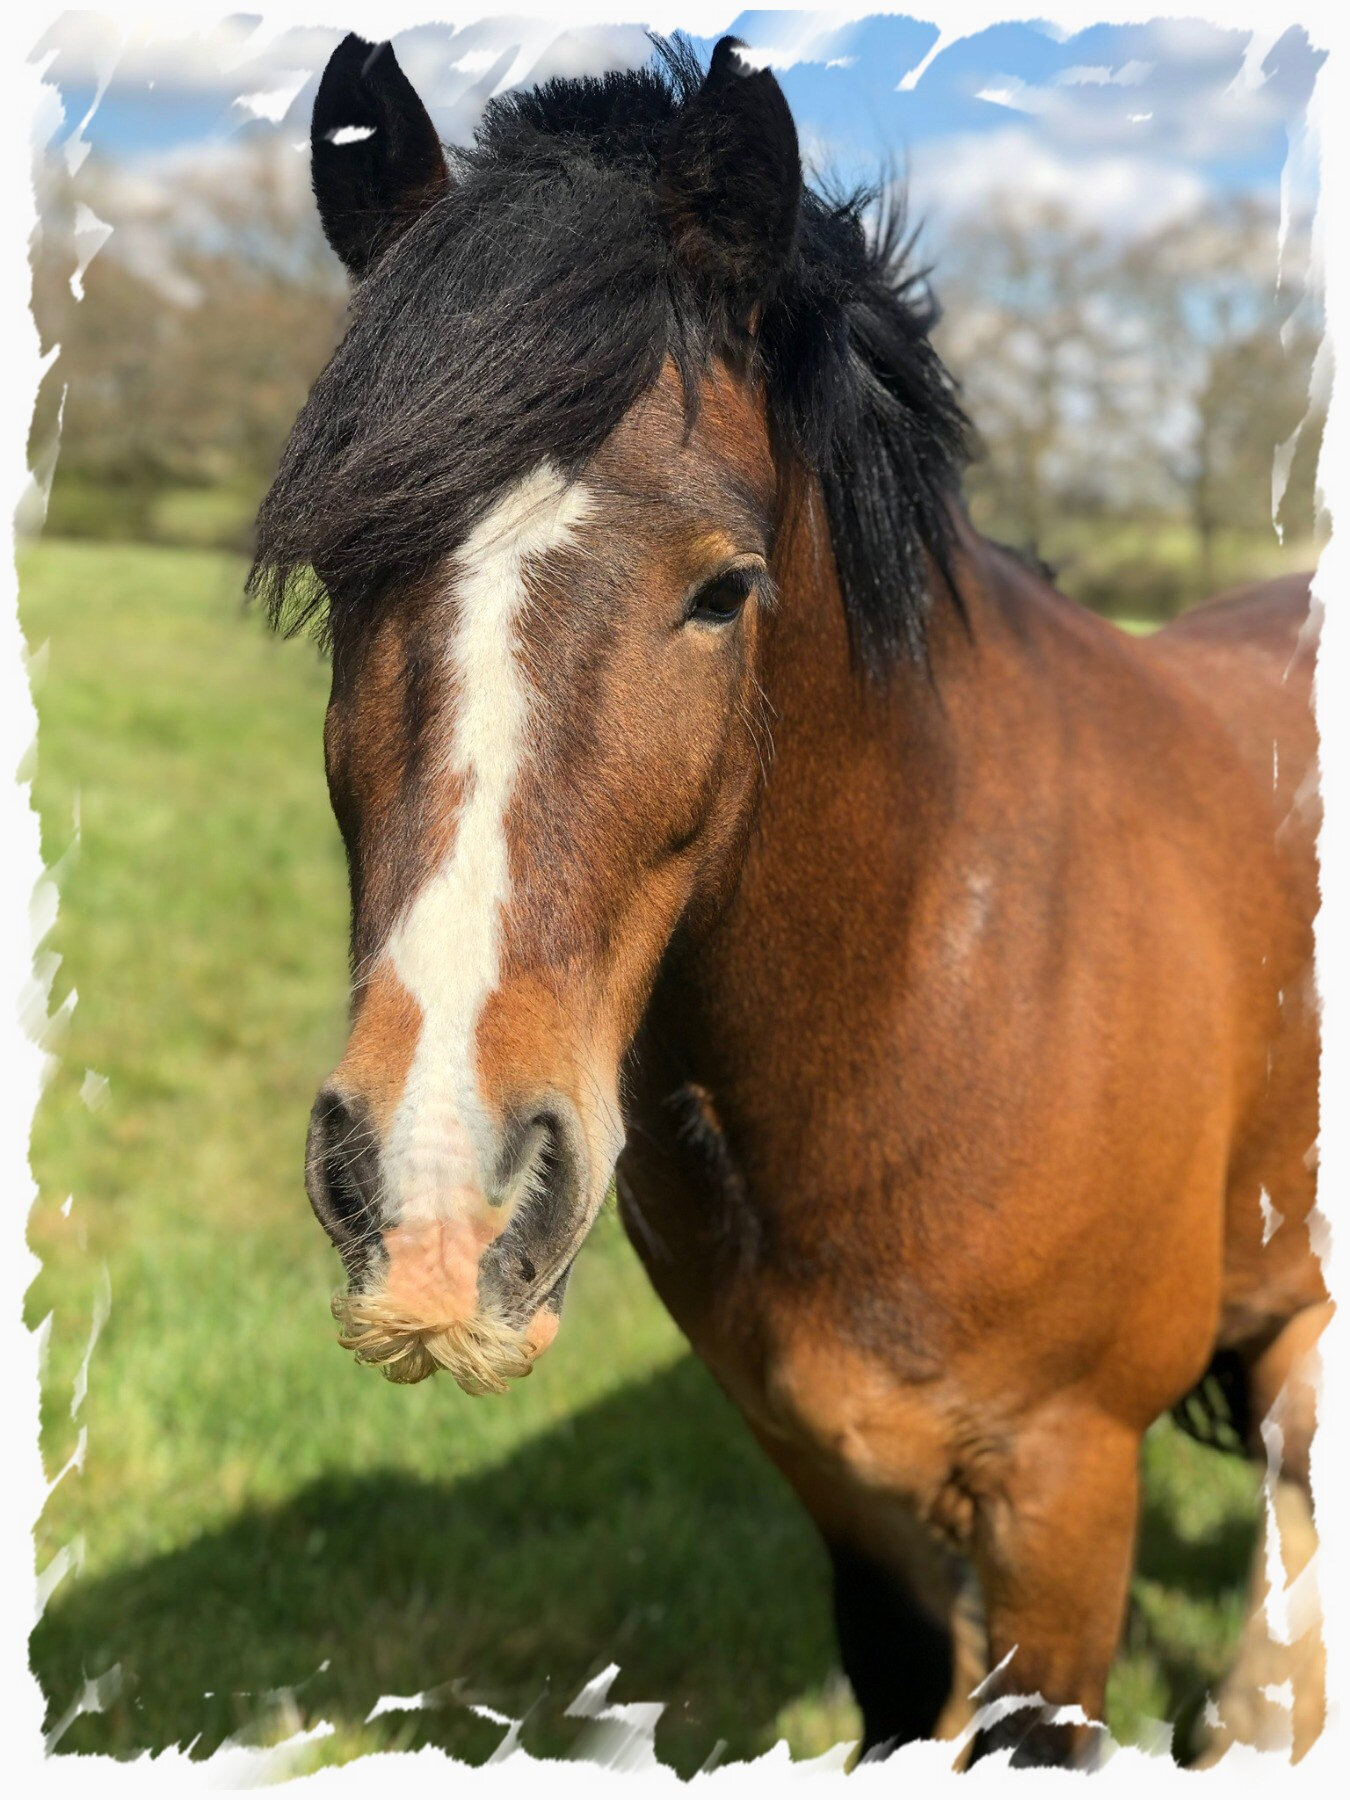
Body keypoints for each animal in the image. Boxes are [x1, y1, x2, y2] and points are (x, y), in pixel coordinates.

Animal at [251, 34, 1328, 1767]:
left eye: (721, 589)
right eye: (346, 575)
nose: (433, 1190)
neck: (934, 972)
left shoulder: (1064, 1488)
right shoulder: (835, 1481)